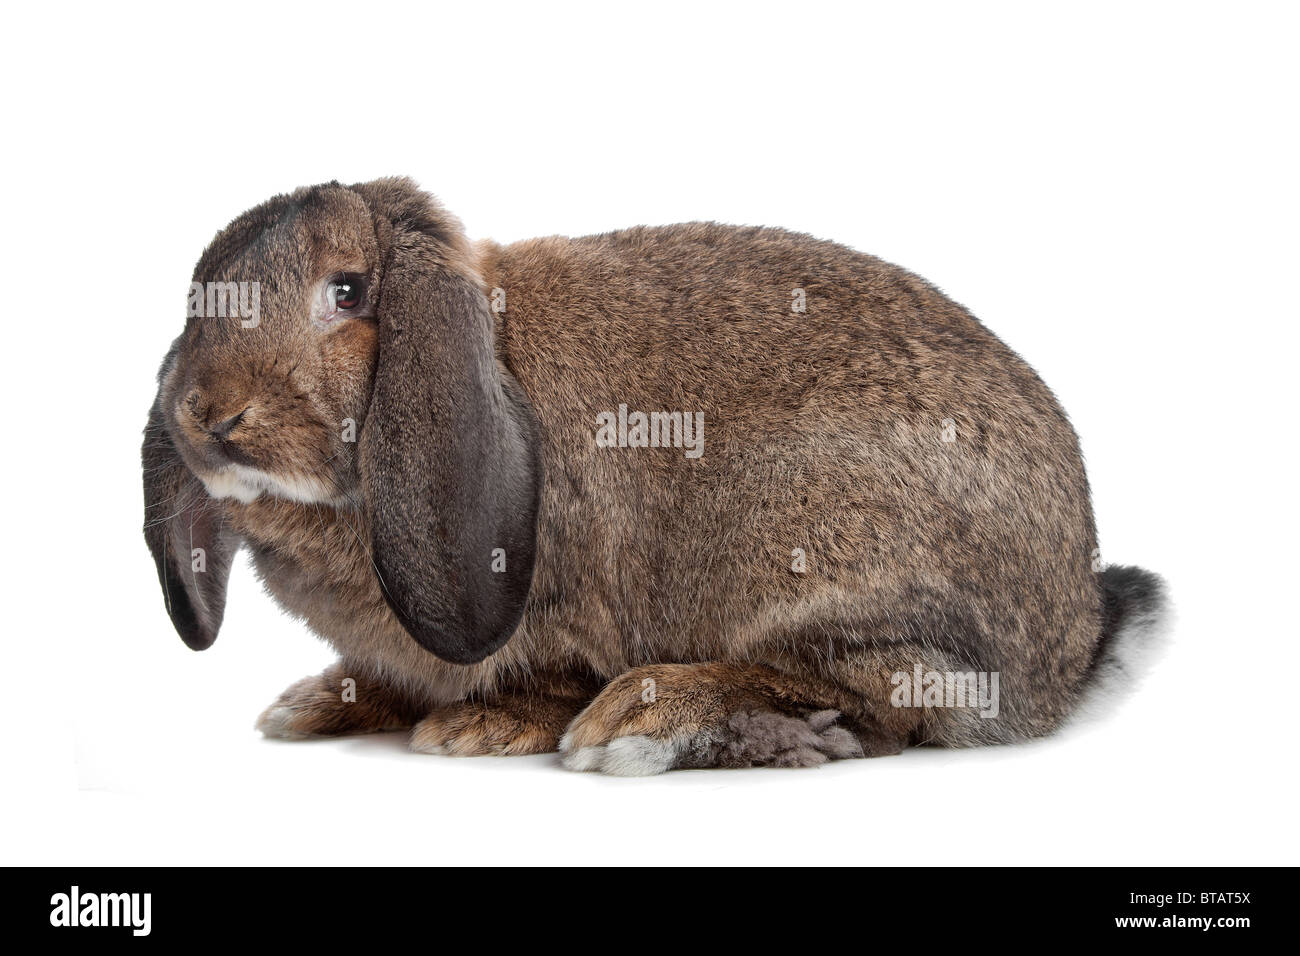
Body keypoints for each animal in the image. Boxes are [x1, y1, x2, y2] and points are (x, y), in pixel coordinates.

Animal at [142, 177, 1167, 775]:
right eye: (198, 294)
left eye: (349, 292)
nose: (208, 414)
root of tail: (1067, 651)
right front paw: (317, 706)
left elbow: (551, 673)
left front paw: (480, 730)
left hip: (822, 554)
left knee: (879, 706)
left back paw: (646, 719)